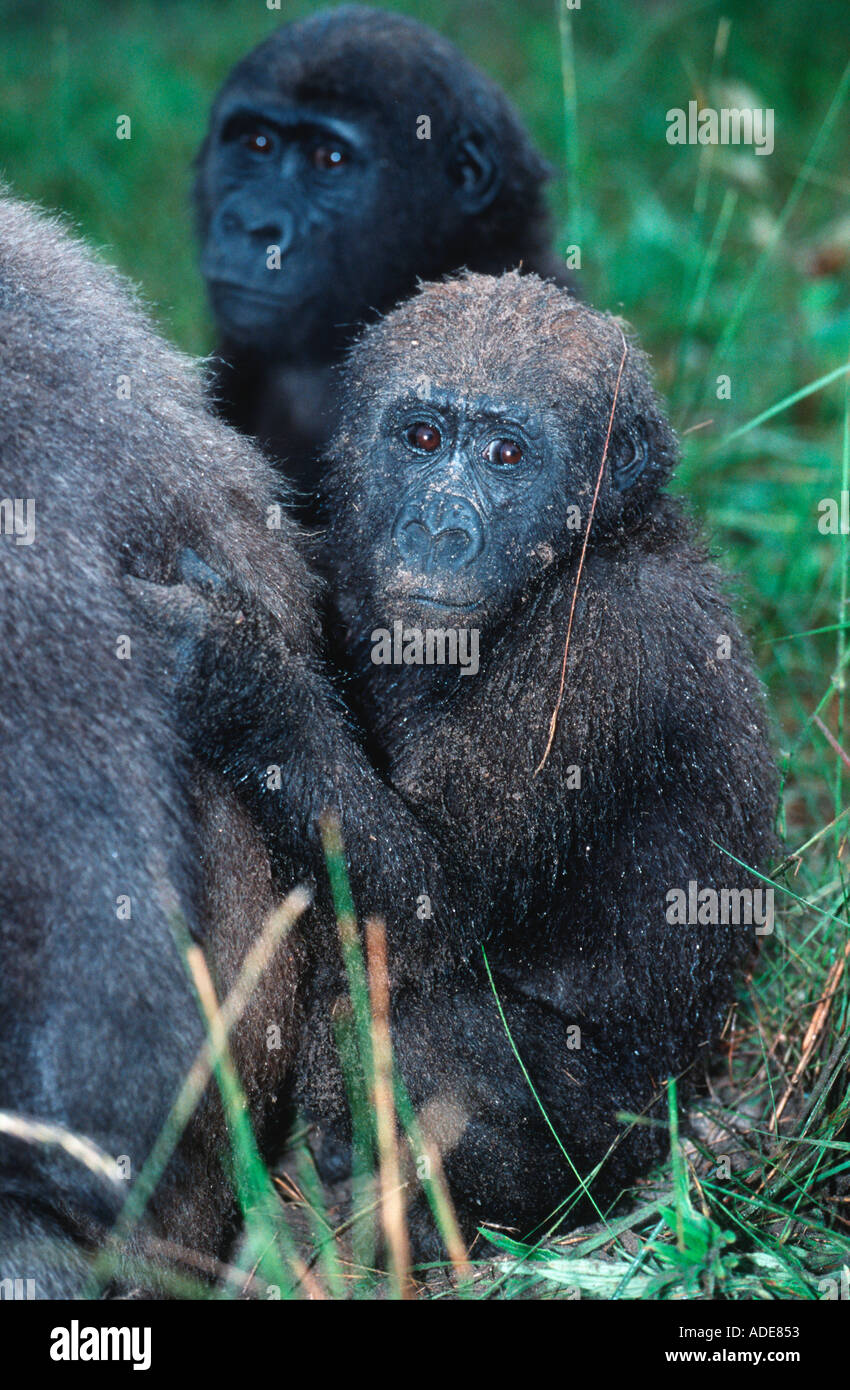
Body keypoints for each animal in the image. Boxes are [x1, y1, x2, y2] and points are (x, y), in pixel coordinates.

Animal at [295, 270, 779, 1255]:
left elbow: (428, 903)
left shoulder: (598, 643)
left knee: (405, 1020)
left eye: (507, 456)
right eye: (423, 438)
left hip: (626, 1142)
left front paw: (230, 670)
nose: (437, 529)